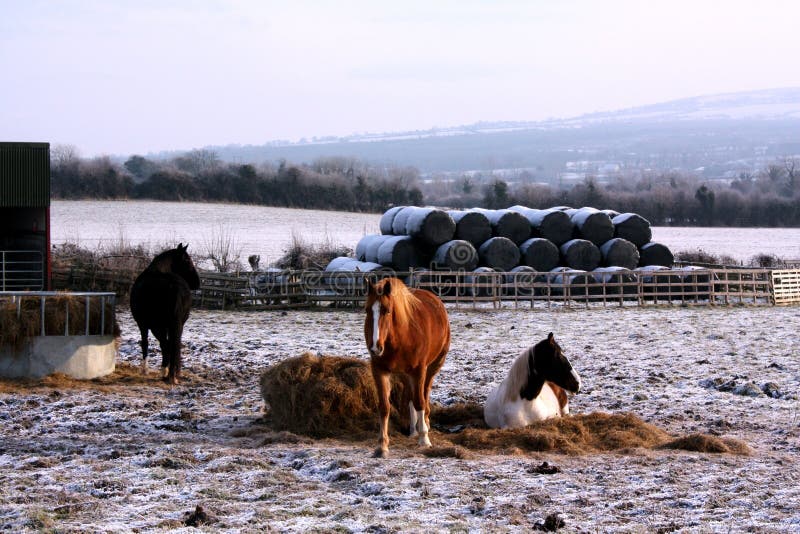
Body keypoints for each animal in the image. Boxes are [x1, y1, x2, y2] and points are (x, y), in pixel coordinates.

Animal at [130, 243, 201, 384]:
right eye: (187, 260)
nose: (198, 283)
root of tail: (175, 287)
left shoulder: (143, 324)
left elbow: (146, 343)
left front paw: (145, 369)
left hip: (158, 326)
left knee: (167, 344)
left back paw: (168, 374)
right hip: (177, 325)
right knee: (175, 345)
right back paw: (174, 374)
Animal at [364, 277, 450, 457]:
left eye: (387, 311)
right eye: (367, 310)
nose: (375, 348)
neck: (401, 336)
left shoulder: (419, 371)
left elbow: (420, 401)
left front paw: (424, 439)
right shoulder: (379, 370)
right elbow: (384, 407)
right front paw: (382, 445)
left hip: (433, 367)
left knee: (424, 393)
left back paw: (424, 424)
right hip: (405, 374)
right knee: (410, 396)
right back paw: (413, 429)